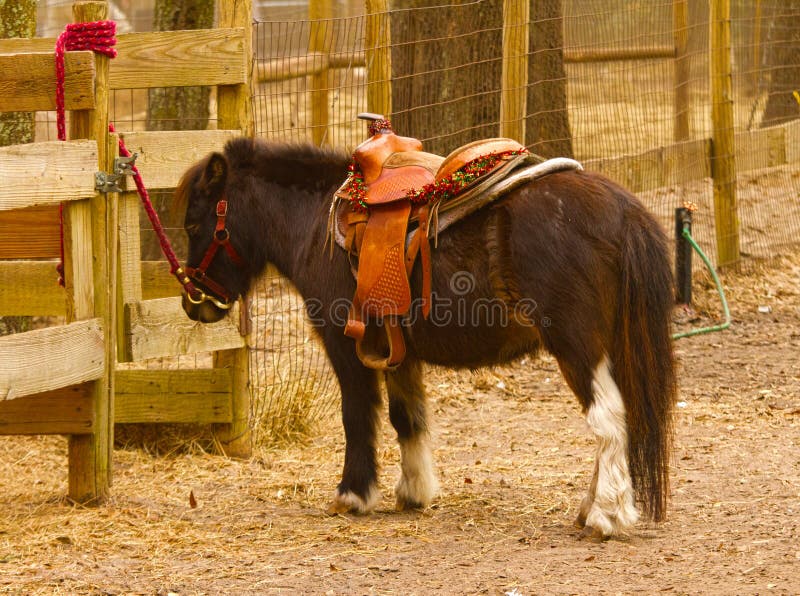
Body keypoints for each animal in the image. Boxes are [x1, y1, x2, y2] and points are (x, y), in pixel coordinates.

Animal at [174, 136, 676, 541]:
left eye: (195, 224)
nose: (195, 302)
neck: (316, 223)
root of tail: (624, 210)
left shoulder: (346, 347)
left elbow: (357, 415)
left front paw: (352, 495)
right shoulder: (397, 353)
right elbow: (407, 418)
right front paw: (414, 492)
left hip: (578, 347)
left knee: (608, 418)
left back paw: (606, 516)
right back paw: (591, 508)